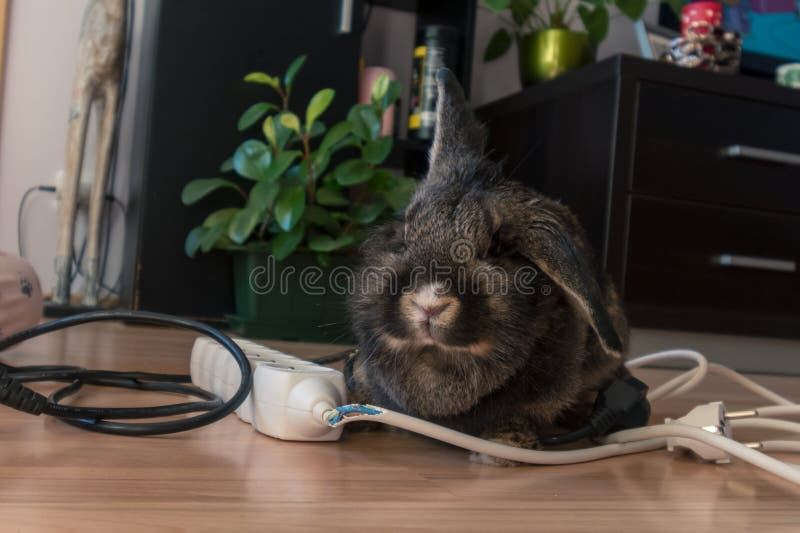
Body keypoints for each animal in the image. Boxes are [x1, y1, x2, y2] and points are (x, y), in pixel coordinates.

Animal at [346, 68, 630, 466]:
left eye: (497, 247)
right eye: (404, 230)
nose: (429, 303)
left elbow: (521, 414)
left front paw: (502, 449)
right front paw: (355, 414)